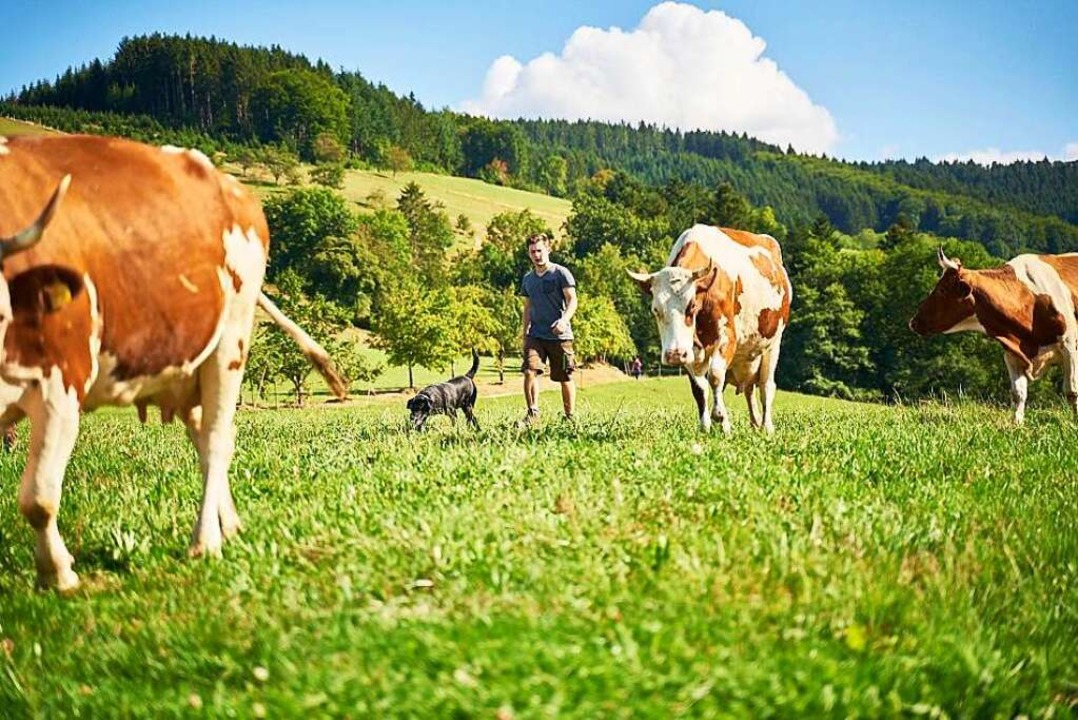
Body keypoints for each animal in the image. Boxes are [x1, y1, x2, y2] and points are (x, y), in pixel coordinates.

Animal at [0, 134, 348, 590]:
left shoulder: (62, 380)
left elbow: (38, 497)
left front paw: (57, 574)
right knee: (205, 437)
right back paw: (227, 525)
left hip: (230, 341)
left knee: (218, 440)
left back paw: (205, 542)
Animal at [628, 224, 792, 433]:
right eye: (655, 310)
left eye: (691, 306)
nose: (674, 354)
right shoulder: (690, 349)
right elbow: (699, 388)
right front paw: (706, 426)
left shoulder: (728, 337)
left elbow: (714, 376)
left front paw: (719, 416)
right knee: (748, 389)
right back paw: (754, 423)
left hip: (773, 344)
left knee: (766, 386)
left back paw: (766, 427)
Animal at [909, 247, 1077, 424]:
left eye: (942, 289)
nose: (913, 322)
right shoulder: (1012, 353)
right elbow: (1018, 393)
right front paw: (1016, 425)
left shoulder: (1069, 346)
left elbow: (1072, 391)